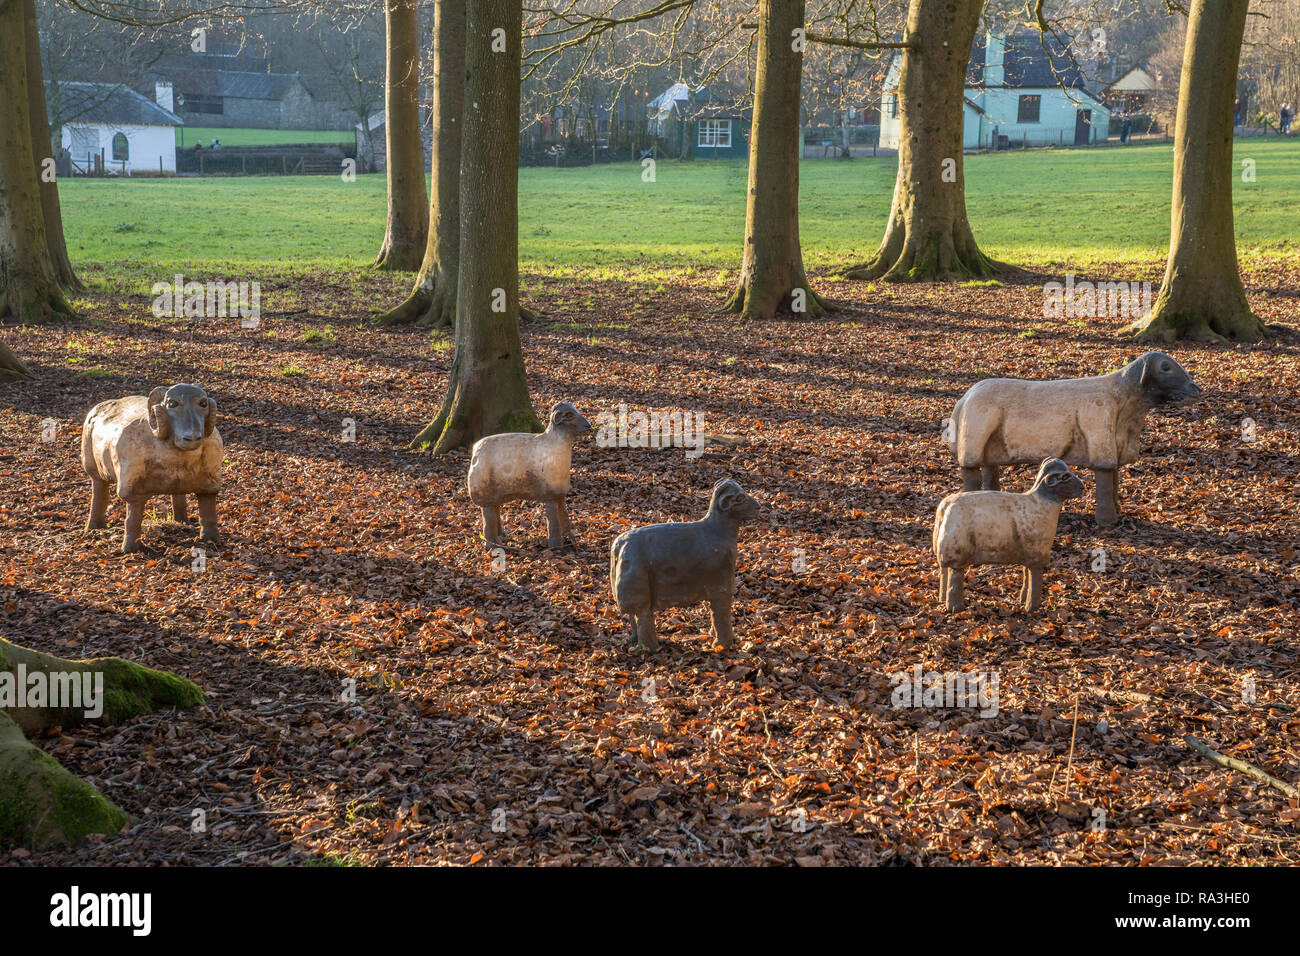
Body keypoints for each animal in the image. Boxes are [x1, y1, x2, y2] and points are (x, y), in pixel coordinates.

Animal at [82, 384, 223, 554]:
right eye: (172, 404)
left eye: (203, 403)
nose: (192, 438)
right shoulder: (131, 489)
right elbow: (133, 520)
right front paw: (130, 549)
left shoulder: (209, 485)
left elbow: (208, 514)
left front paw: (211, 540)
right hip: (93, 468)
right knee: (98, 491)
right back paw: (94, 527)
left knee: (178, 495)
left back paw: (182, 522)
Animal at [467, 401, 592, 549]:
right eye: (569, 415)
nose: (589, 424)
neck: (554, 444)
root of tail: (476, 449)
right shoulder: (550, 496)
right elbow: (554, 522)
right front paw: (556, 546)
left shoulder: (559, 494)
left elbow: (564, 516)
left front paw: (571, 539)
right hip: (484, 494)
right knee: (488, 518)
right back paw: (493, 544)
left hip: (496, 494)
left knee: (495, 511)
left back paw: (503, 536)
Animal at [609, 478, 761, 652]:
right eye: (740, 498)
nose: (759, 507)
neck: (718, 531)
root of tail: (618, 546)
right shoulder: (721, 582)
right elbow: (721, 612)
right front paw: (722, 645)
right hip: (637, 583)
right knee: (643, 615)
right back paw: (651, 648)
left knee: (634, 615)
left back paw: (635, 640)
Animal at [932, 457, 1085, 613]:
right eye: (1065, 477)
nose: (1082, 487)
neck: (1041, 502)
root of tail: (944, 508)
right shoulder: (1036, 555)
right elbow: (1034, 583)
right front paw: (1032, 608)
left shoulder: (1028, 554)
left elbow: (1026, 575)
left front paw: (1023, 600)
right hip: (956, 550)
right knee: (954, 579)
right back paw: (955, 608)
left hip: (943, 549)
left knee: (944, 573)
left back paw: (942, 599)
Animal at [946, 351, 1202, 526]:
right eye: (1165, 367)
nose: (1196, 389)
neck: (1126, 406)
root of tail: (964, 399)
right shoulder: (1099, 434)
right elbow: (1106, 479)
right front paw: (1107, 522)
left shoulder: (1115, 445)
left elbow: (1114, 480)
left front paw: (1116, 514)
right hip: (974, 436)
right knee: (970, 471)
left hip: (991, 444)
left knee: (990, 467)